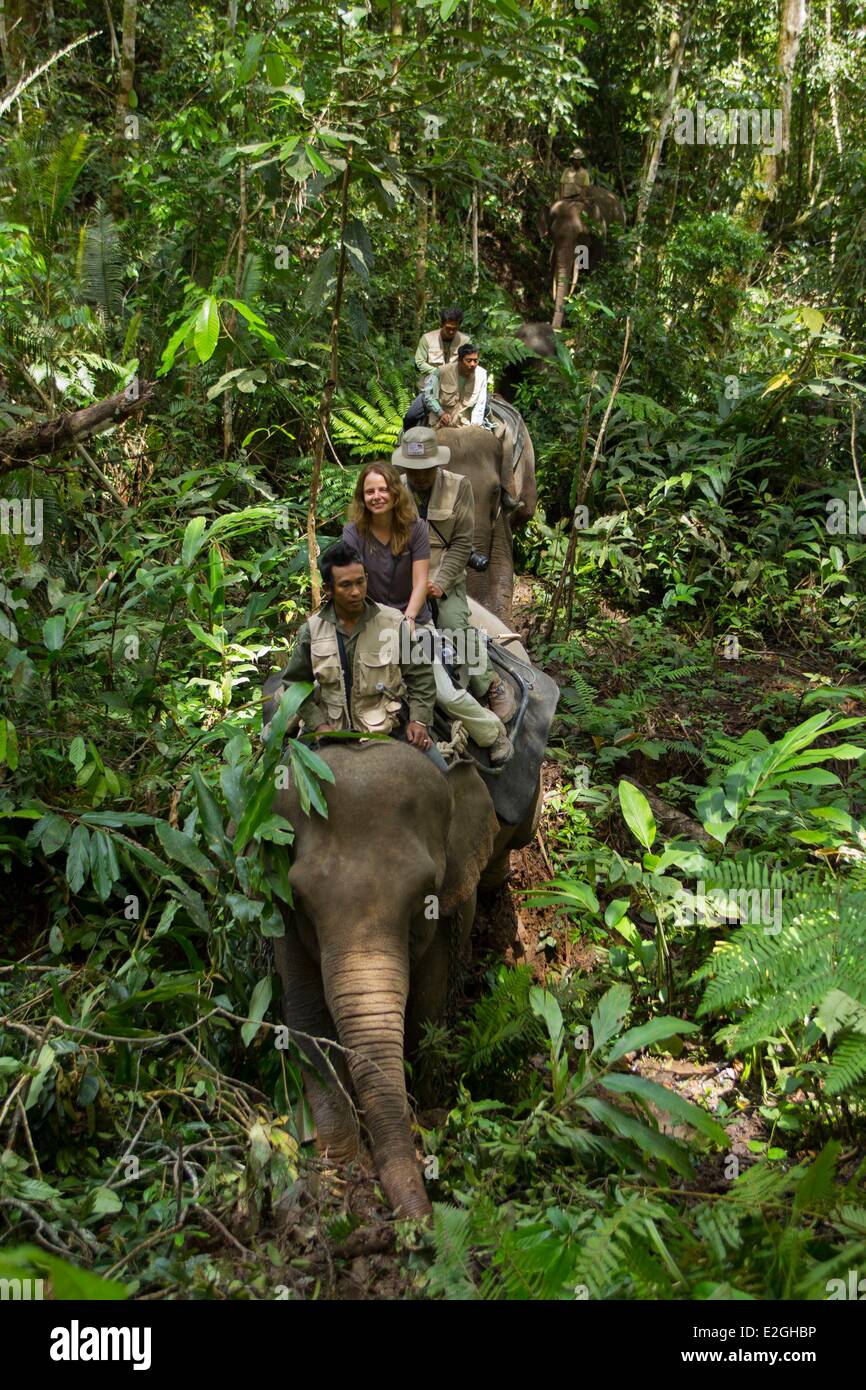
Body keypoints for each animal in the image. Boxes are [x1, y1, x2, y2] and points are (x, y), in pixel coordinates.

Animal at [263, 609, 558, 1219]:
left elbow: (428, 996)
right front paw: (335, 1164)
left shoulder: (448, 900)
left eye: (424, 895)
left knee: (511, 836)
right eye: (302, 899)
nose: (417, 1223)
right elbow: (300, 1011)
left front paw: (430, 1108)